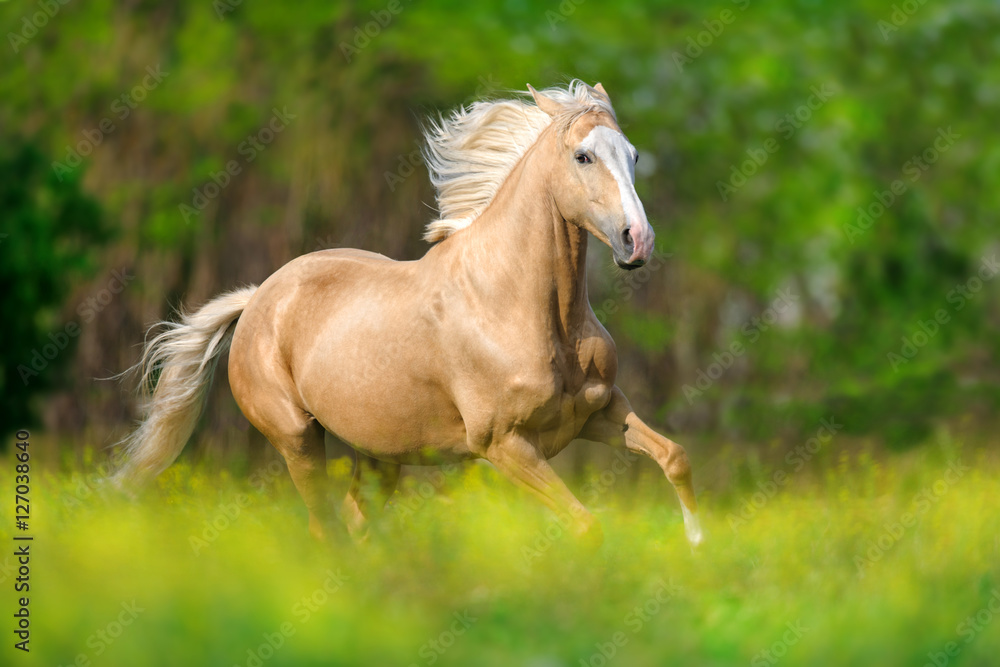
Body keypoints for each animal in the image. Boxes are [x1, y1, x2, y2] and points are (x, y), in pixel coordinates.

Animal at [114, 80, 703, 547]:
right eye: (583, 156)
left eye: (632, 155)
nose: (637, 240)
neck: (517, 309)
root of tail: (259, 298)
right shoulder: (505, 445)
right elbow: (586, 525)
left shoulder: (602, 411)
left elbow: (675, 456)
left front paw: (698, 548)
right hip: (297, 439)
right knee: (325, 527)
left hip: (379, 456)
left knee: (351, 523)